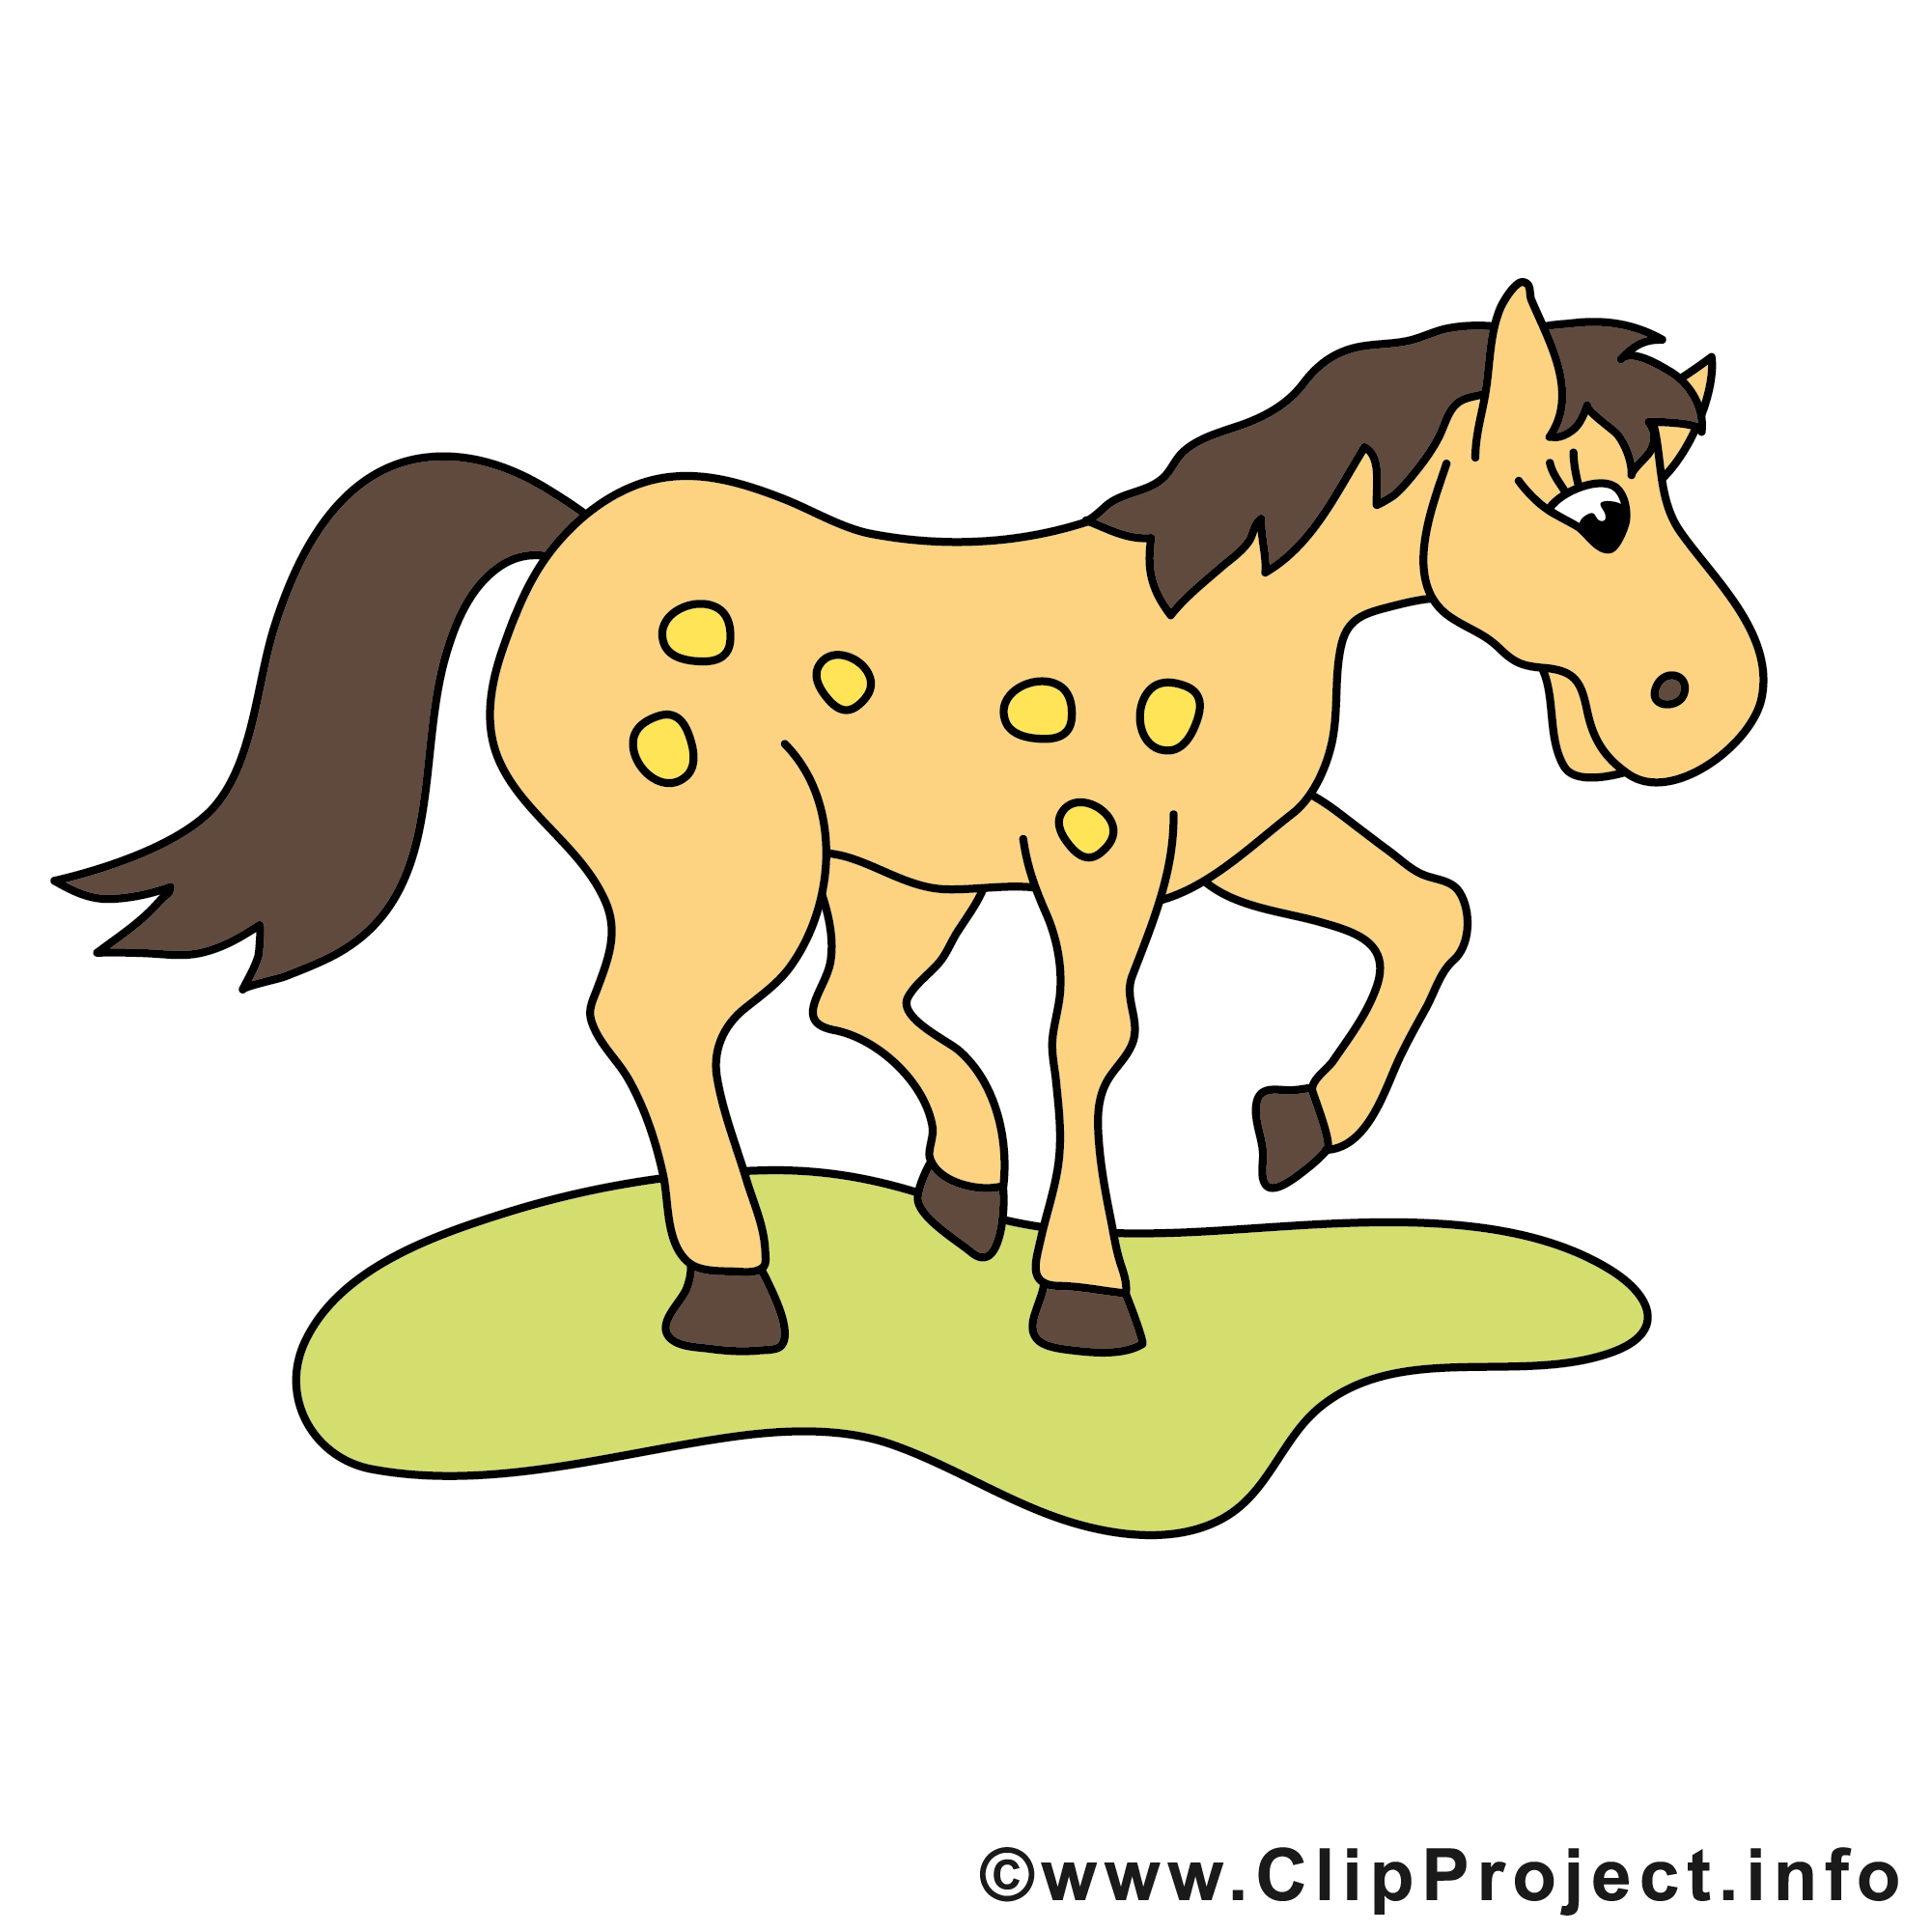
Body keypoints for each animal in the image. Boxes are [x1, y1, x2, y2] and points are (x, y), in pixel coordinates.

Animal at [57, 280, 1764, 1359]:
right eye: (1593, 507)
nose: (1706, 704)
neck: (1240, 613)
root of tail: (568, 533)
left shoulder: (1241, 845)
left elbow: (1428, 911)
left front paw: (1295, 1127)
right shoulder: (1099, 855)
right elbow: (1094, 1041)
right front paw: (1089, 1298)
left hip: (889, 874)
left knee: (847, 1002)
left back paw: (958, 1190)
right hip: (724, 864)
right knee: (660, 1024)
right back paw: (733, 1288)